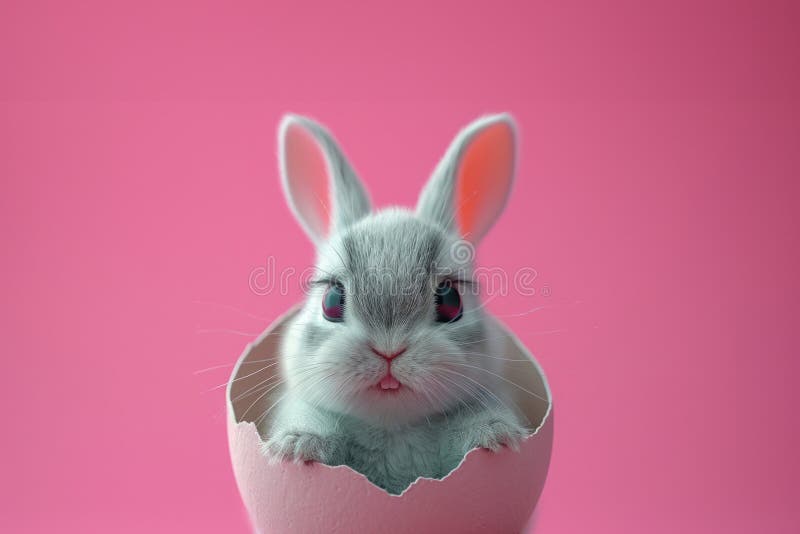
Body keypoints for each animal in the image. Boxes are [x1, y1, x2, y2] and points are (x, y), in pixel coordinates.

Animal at [261, 113, 529, 495]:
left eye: (451, 301)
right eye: (331, 301)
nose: (388, 350)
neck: (392, 426)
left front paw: (497, 438)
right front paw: (296, 448)